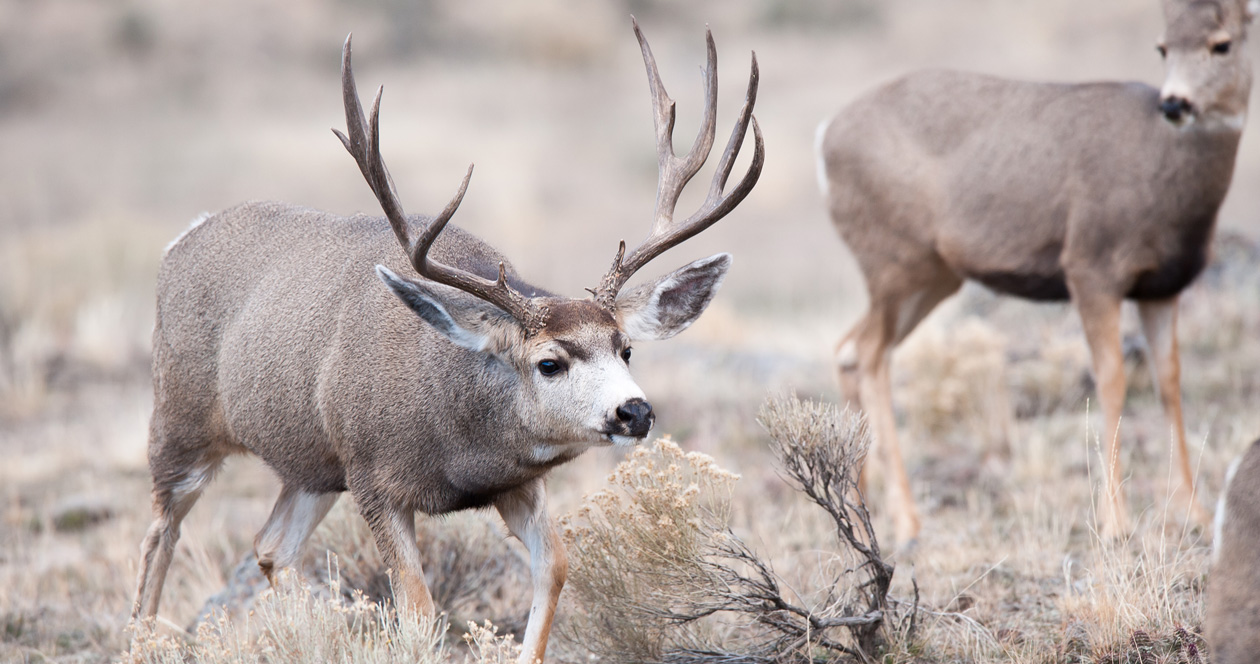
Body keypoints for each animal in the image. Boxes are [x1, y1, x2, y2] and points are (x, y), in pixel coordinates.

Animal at [130, 22, 762, 664]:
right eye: (549, 362)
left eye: (626, 348)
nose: (634, 411)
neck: (457, 435)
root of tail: (181, 239)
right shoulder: (372, 476)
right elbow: (417, 607)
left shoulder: (517, 482)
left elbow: (555, 567)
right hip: (179, 419)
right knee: (161, 535)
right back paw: (142, 639)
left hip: (311, 463)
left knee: (270, 545)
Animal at [816, 0, 1254, 545]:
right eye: (1163, 46)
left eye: (1221, 44)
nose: (1175, 104)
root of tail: (825, 138)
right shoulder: (1091, 267)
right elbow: (1111, 379)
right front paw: (1115, 522)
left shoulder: (1163, 286)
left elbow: (1169, 381)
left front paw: (1192, 513)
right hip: (894, 259)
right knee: (870, 354)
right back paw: (907, 521)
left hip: (932, 276)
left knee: (849, 348)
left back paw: (860, 509)